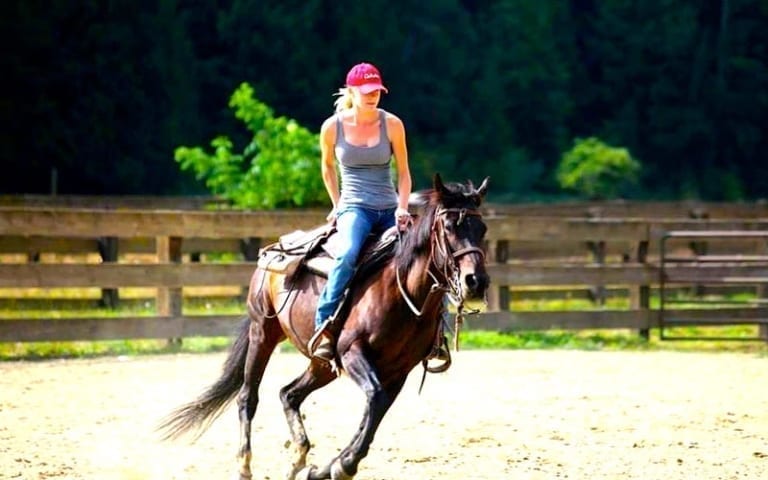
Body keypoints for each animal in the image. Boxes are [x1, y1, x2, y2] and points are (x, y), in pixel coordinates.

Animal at [157, 173, 490, 480]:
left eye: (482, 229)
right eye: (449, 227)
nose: (476, 281)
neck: (401, 291)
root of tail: (273, 251)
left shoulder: (398, 370)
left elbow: (375, 410)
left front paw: (329, 467)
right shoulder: (352, 351)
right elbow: (374, 399)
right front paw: (342, 465)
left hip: (321, 362)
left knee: (289, 394)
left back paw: (299, 459)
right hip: (262, 333)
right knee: (247, 396)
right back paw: (245, 465)